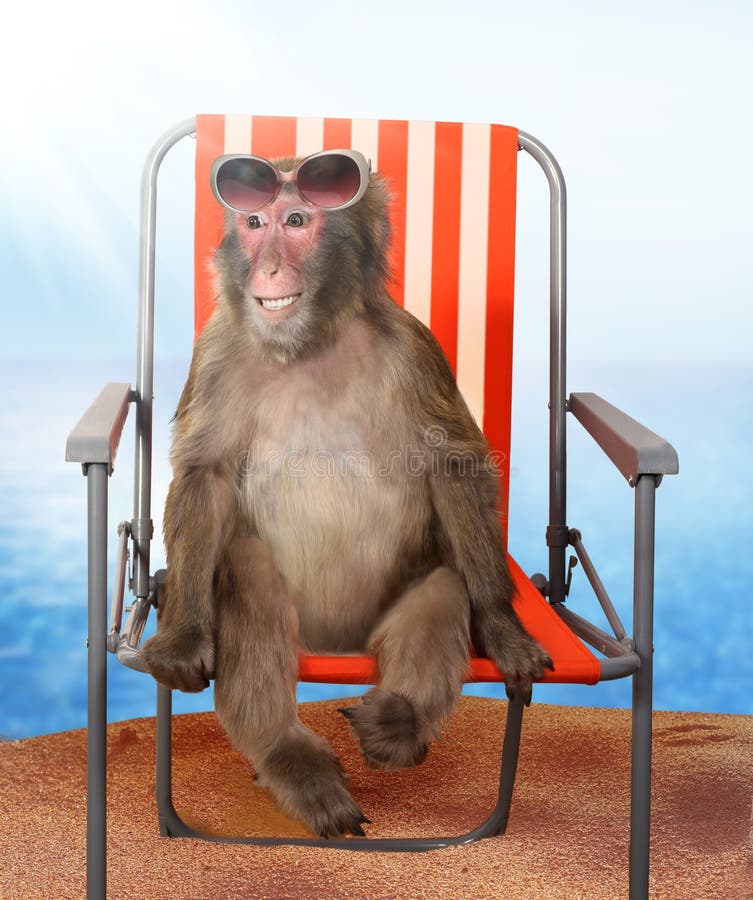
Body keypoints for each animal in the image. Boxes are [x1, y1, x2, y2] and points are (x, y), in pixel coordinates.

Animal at [141, 152, 553, 838]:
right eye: (254, 223)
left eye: (297, 222)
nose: (268, 266)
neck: (307, 346)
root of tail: (335, 647)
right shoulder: (218, 349)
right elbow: (208, 474)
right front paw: (181, 636)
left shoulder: (415, 351)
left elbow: (453, 465)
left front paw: (501, 623)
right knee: (245, 570)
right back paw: (287, 754)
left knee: (444, 589)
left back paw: (400, 720)